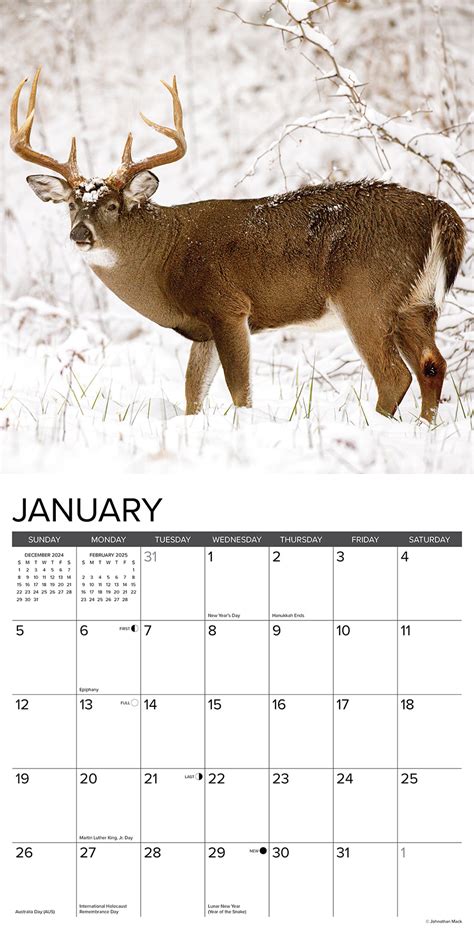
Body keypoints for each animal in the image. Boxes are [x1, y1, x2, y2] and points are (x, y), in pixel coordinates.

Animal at [10, 68, 465, 421]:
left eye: (111, 205)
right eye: (72, 204)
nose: (79, 234)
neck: (165, 258)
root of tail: (439, 211)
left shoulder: (227, 306)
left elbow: (239, 391)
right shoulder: (202, 328)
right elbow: (193, 394)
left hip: (366, 292)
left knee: (395, 375)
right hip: (415, 303)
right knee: (432, 365)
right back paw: (425, 428)